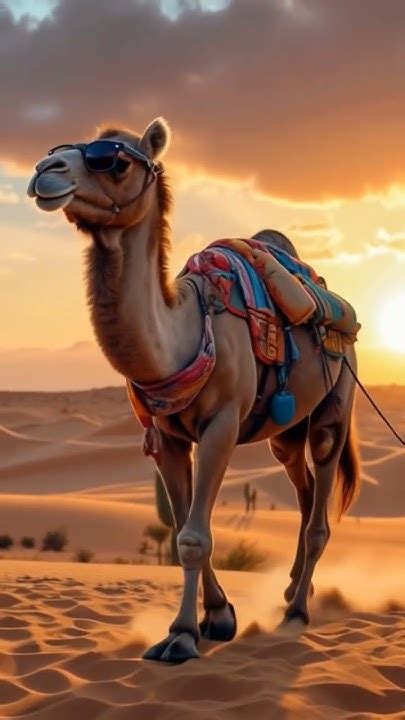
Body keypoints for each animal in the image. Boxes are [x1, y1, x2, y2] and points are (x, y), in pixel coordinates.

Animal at [27, 118, 360, 663]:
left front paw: (181, 635)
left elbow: (192, 537)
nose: (43, 170)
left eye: (113, 161)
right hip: (285, 432)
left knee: (320, 510)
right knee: (305, 489)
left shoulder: (221, 425)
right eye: (59, 149)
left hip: (337, 404)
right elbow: (183, 520)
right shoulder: (165, 436)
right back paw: (296, 589)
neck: (182, 338)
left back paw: (296, 612)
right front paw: (218, 617)